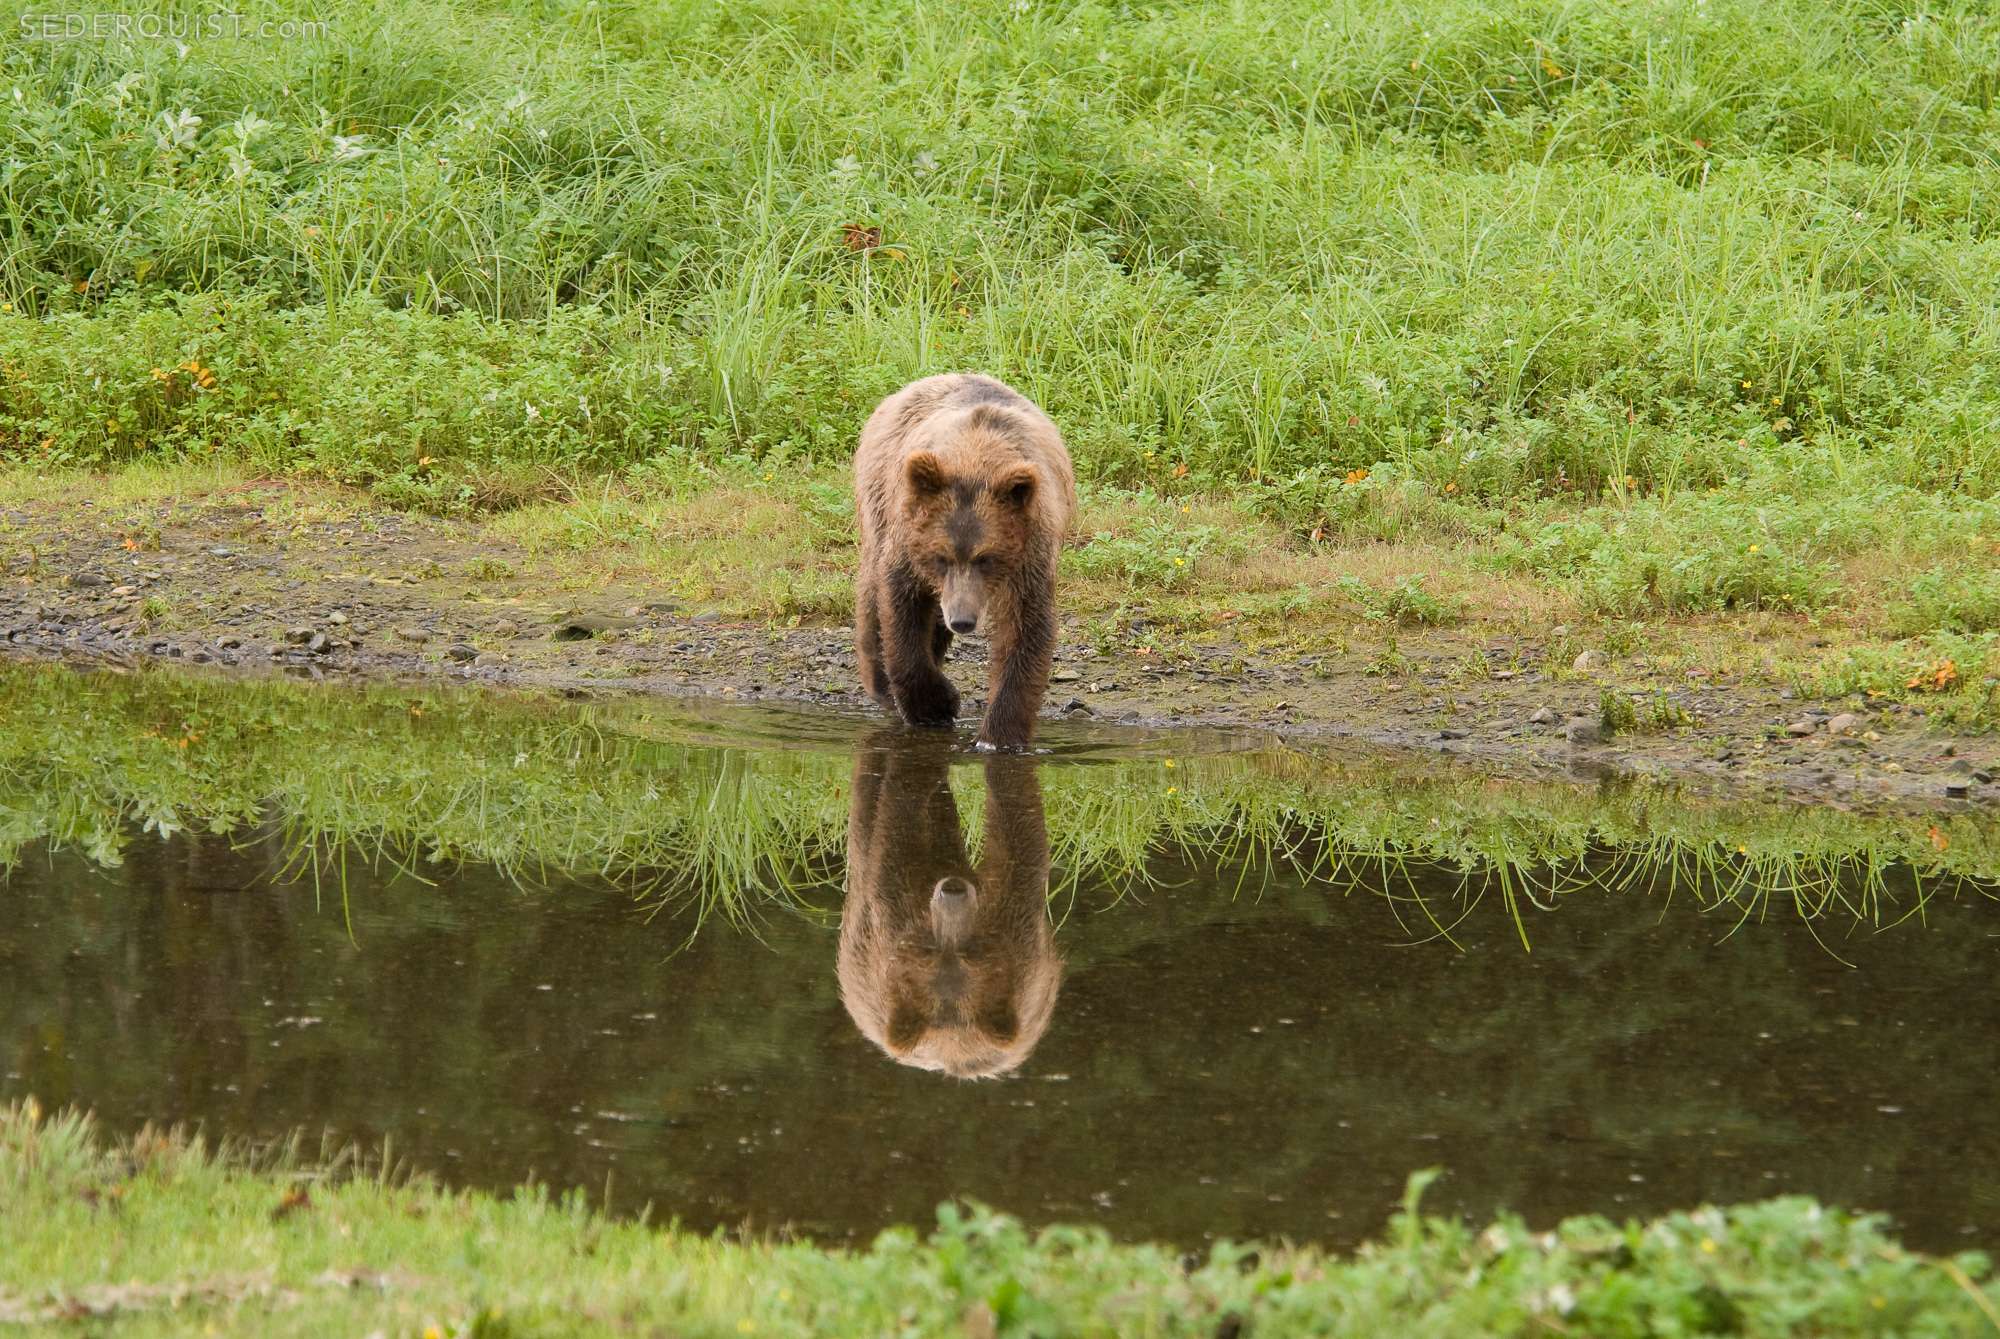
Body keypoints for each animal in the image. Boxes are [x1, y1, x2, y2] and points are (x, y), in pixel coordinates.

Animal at [837, 728, 1062, 1079]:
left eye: (974, 954)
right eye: (926, 953)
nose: (952, 891)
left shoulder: (1018, 931)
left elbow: (1020, 838)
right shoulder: (892, 910)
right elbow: (897, 832)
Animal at [853, 372, 1076, 751]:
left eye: (986, 558)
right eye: (940, 556)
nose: (962, 620)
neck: (976, 455)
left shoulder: (1030, 553)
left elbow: (1024, 631)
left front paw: (998, 737)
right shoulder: (910, 545)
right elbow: (901, 610)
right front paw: (934, 705)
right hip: (880, 497)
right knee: (873, 588)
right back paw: (881, 683)